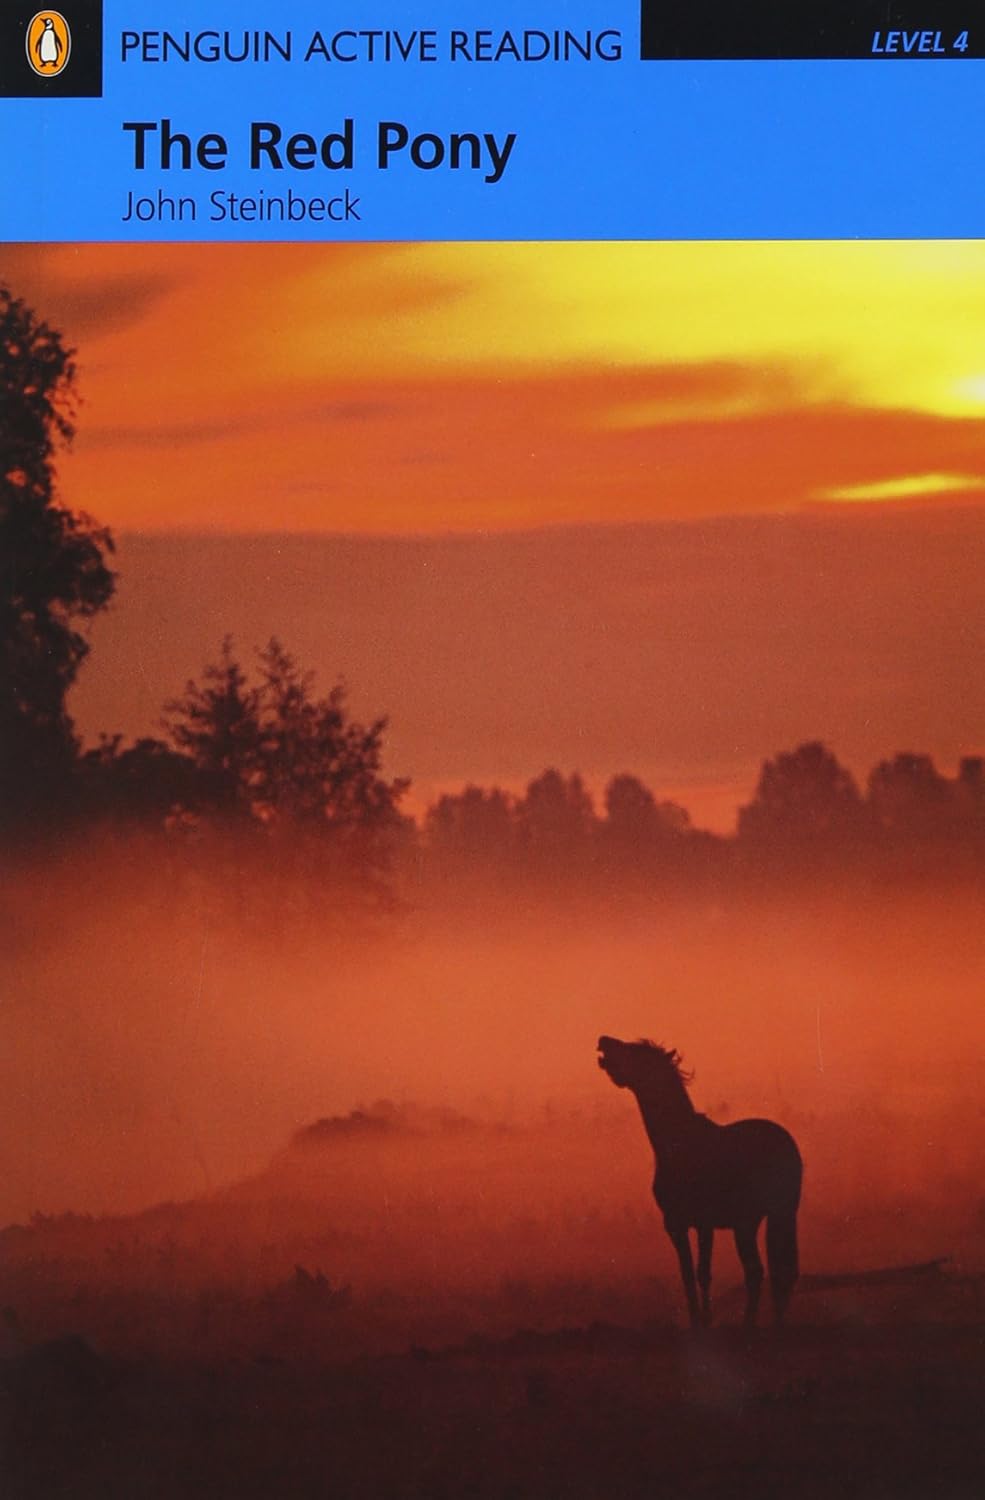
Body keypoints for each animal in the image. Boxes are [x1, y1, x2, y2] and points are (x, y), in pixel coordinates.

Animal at [597, 1035, 802, 1328]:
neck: (680, 1144)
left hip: (761, 1219)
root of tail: (788, 1144)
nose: (602, 1039)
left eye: (635, 1051)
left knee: (764, 1271)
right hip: (761, 1220)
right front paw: (698, 1321)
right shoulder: (675, 1224)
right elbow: (687, 1275)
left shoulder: (704, 1223)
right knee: (767, 1272)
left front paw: (704, 1322)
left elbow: (702, 1273)